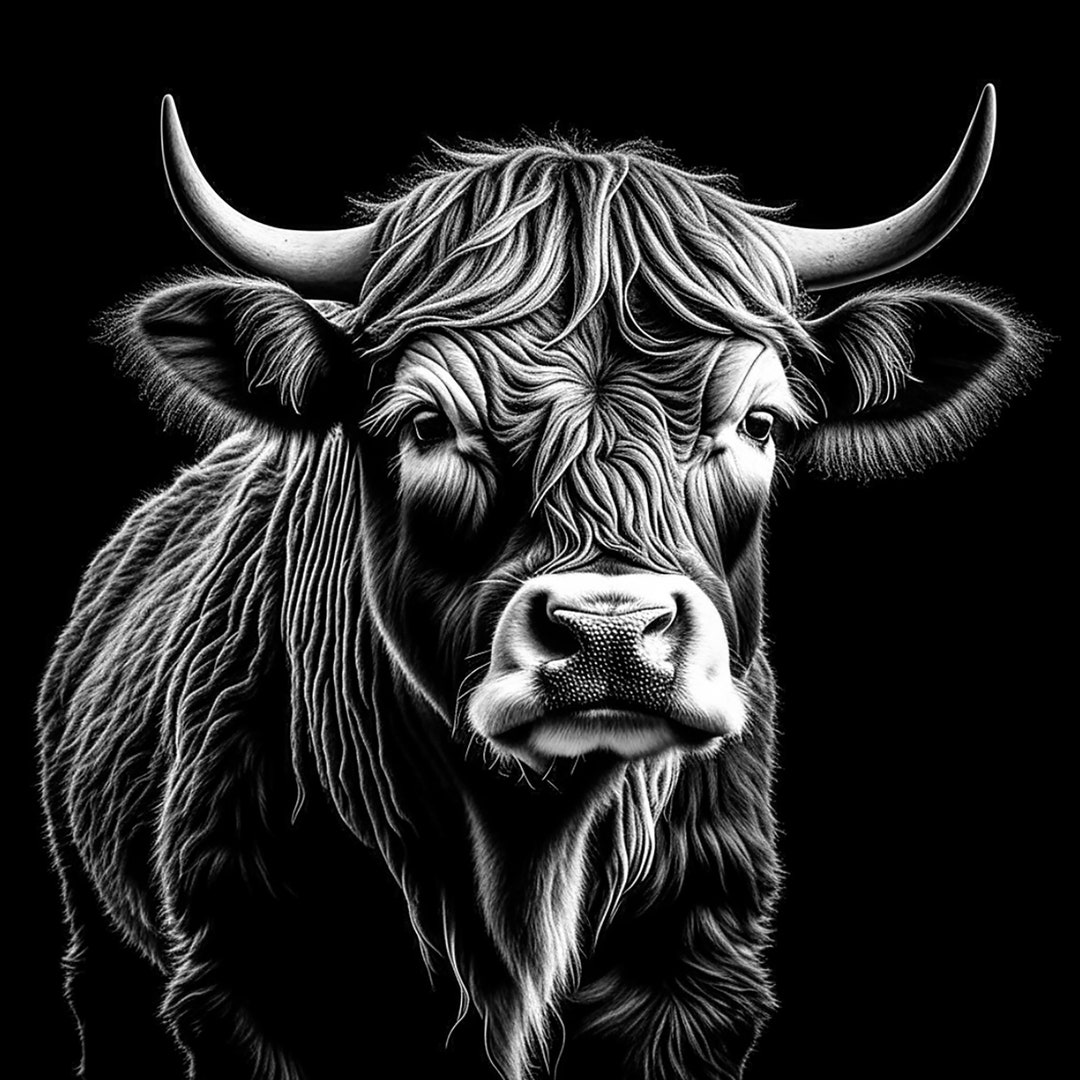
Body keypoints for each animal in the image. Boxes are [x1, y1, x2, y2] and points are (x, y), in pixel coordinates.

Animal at [38, 87, 1038, 1080]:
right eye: (426, 424)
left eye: (758, 424)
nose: (610, 636)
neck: (527, 867)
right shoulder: (243, 978)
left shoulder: (699, 978)